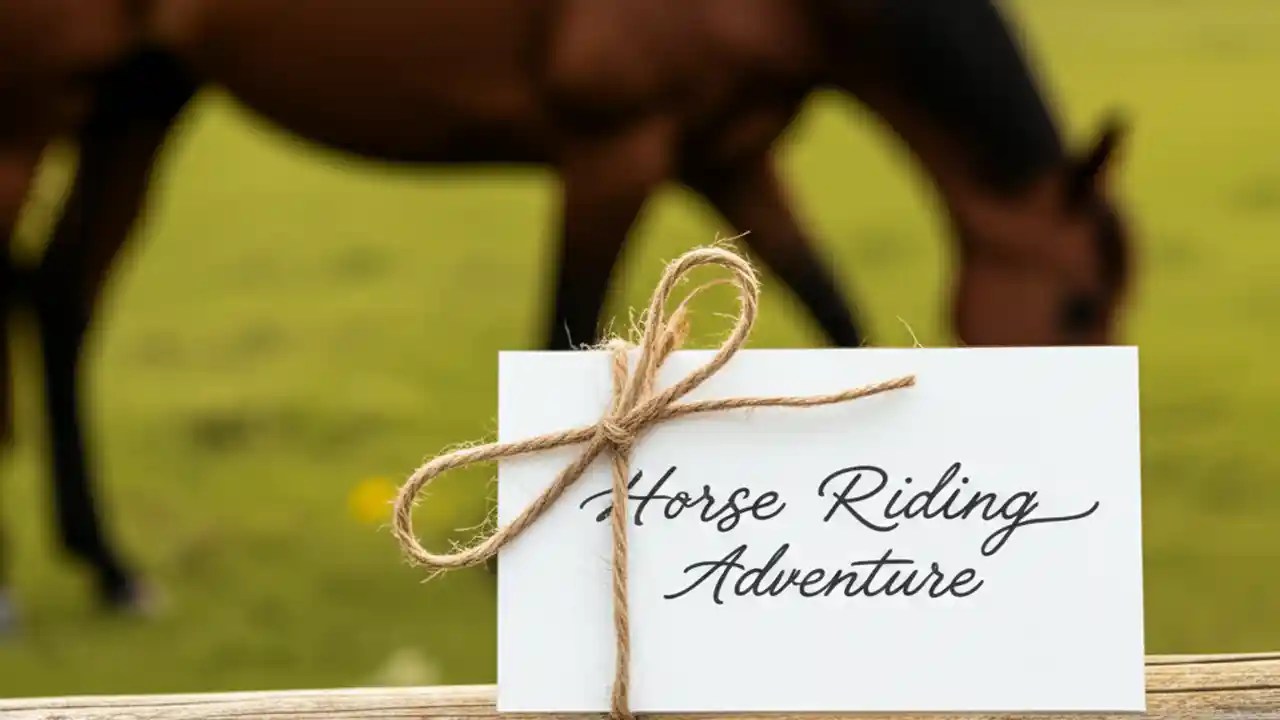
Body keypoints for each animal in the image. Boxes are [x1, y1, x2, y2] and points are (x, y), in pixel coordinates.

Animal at [0, 0, 1132, 627]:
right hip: (36, 108)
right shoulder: (612, 149)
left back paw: (111, 569)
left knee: (62, 296)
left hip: (137, 100)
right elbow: (565, 327)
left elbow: (838, 316)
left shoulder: (730, 151)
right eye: (1077, 299)